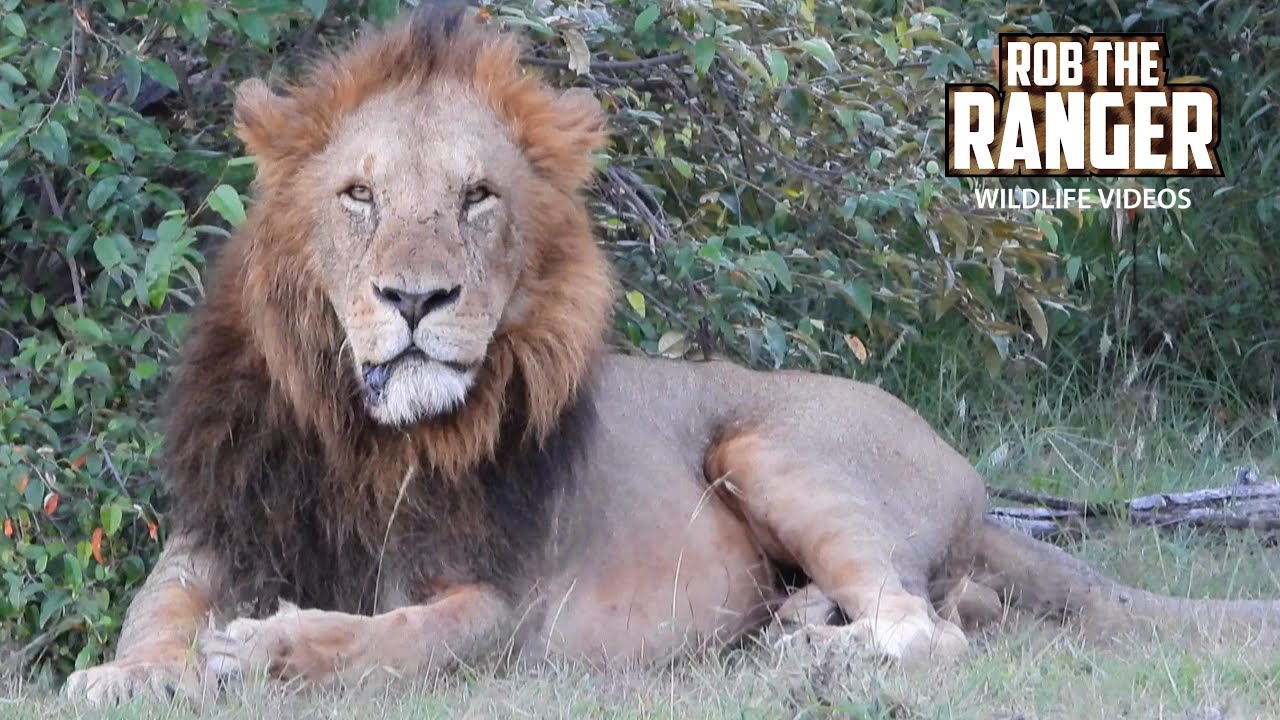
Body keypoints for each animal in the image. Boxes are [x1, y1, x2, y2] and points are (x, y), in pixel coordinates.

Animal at [64, 2, 1279, 706]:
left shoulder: (505, 609)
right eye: (357, 195)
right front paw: (128, 674)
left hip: (775, 448)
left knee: (926, 631)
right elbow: (149, 618)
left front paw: (265, 653)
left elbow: (402, 640)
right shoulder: (221, 526)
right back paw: (791, 626)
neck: (356, 432)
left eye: (477, 198)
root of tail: (977, 489)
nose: (414, 299)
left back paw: (806, 654)